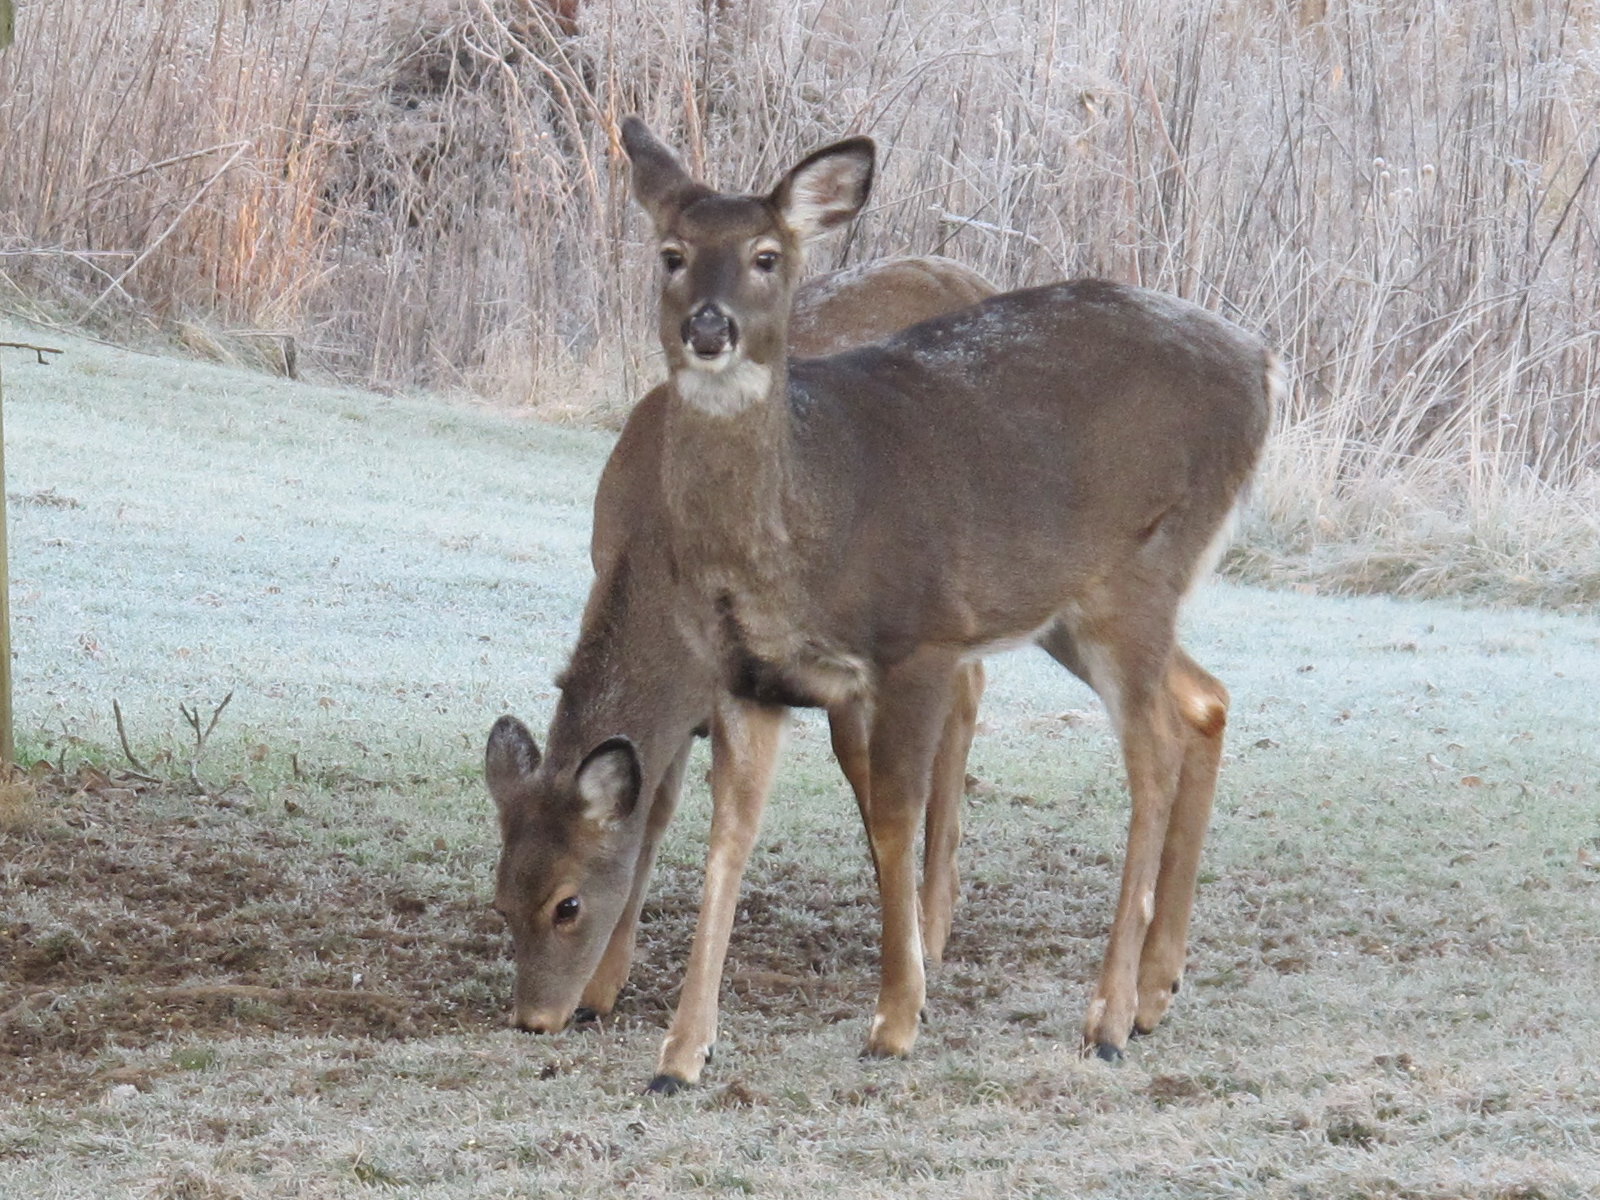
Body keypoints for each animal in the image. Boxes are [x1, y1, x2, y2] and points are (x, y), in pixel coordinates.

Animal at [485, 256, 996, 1046]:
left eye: (567, 904)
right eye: (501, 902)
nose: (534, 1019)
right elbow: (654, 810)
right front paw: (607, 986)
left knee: (964, 696)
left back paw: (935, 925)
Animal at [615, 116, 1279, 1092]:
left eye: (767, 256)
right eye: (673, 253)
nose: (710, 326)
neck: (805, 523)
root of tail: (1267, 366)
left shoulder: (917, 641)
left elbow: (895, 815)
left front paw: (897, 1016)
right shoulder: (748, 672)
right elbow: (728, 836)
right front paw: (680, 1053)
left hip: (1142, 571)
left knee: (1153, 752)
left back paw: (1108, 1018)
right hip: (1072, 606)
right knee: (1205, 701)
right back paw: (1157, 993)